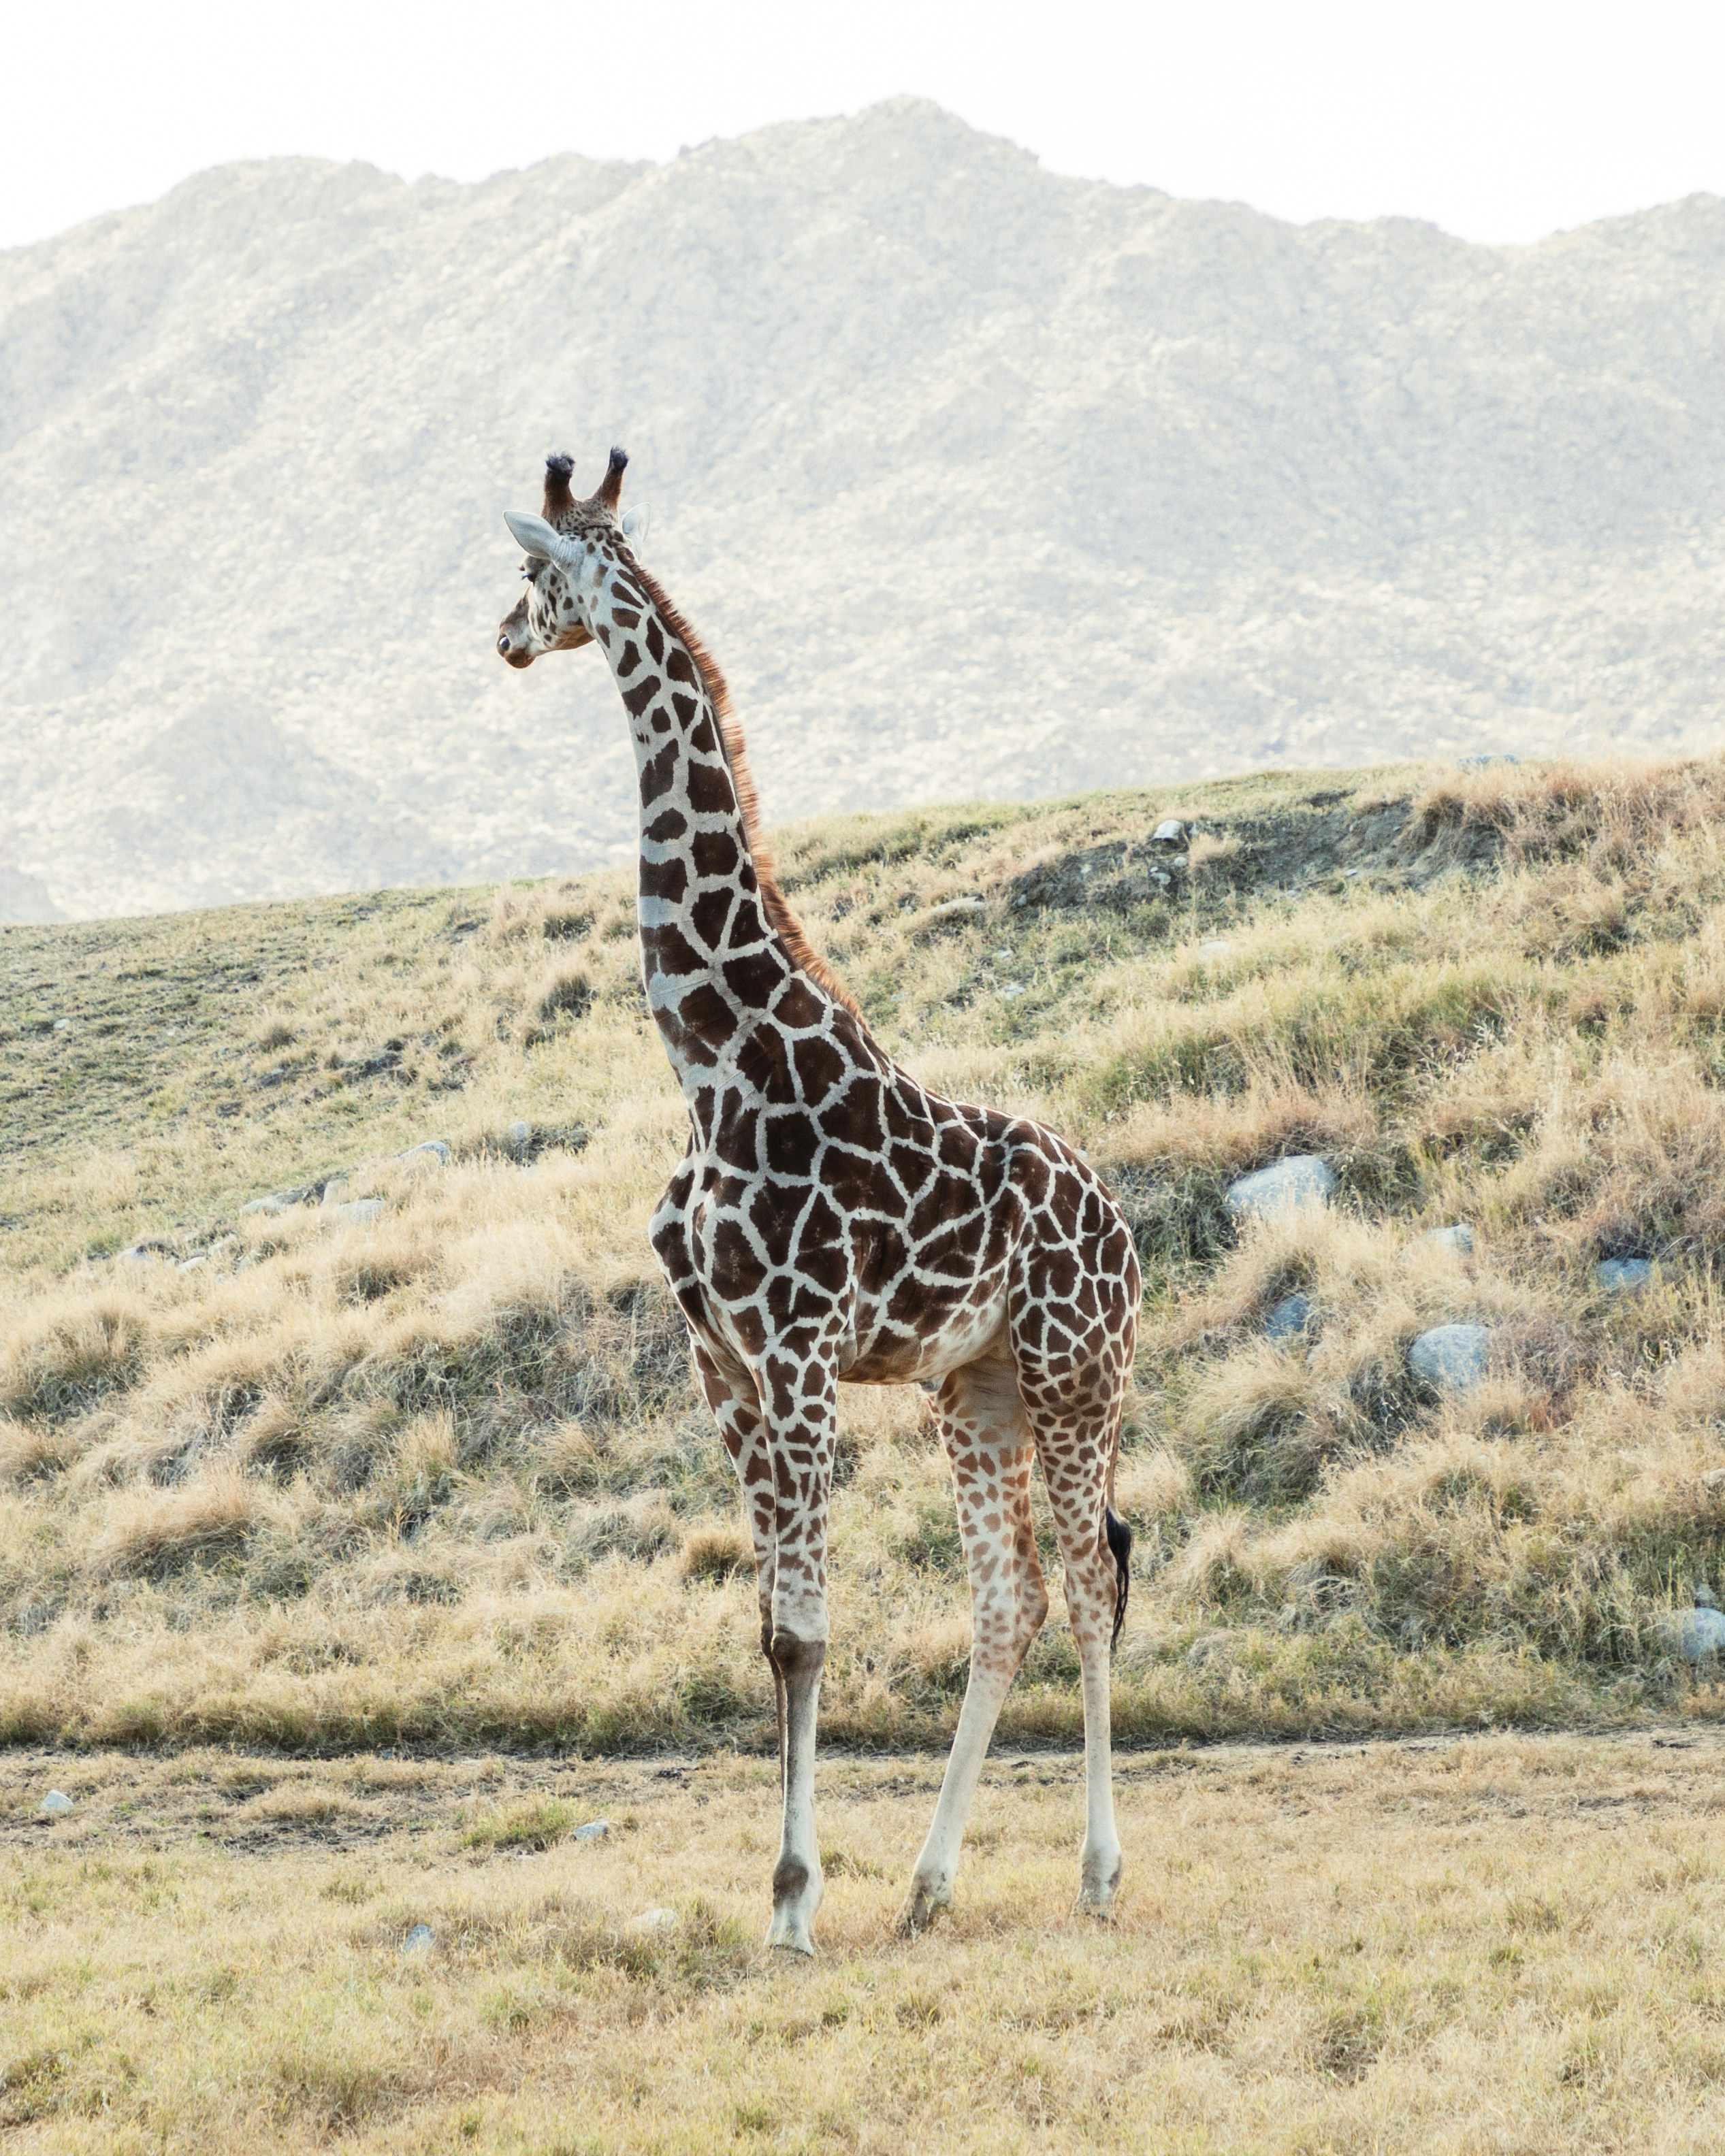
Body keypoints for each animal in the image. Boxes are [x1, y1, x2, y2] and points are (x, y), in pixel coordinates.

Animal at [497, 450, 1139, 1953]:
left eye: (532, 574)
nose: (498, 642)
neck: (715, 1062)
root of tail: (1130, 1228)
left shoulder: (795, 1358)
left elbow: (806, 1631)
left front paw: (791, 1903)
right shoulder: (722, 1365)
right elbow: (772, 1630)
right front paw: (791, 1891)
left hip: (1074, 1374)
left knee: (1090, 1580)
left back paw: (1094, 1873)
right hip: (978, 1387)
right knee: (1011, 1596)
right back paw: (926, 1885)